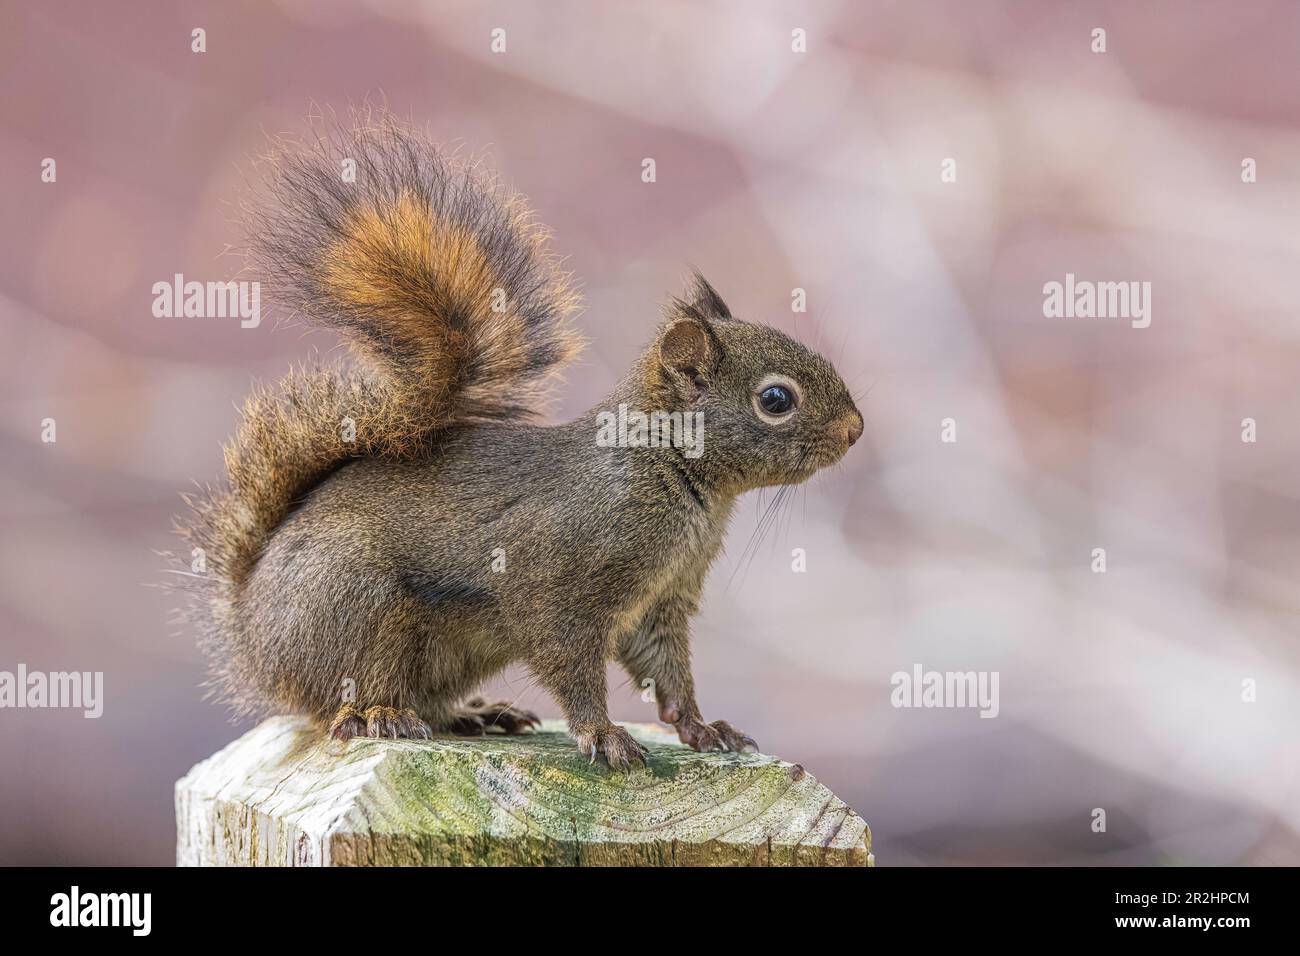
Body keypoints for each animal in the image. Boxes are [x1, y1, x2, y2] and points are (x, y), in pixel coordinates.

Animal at [172, 110, 864, 770]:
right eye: (776, 400)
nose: (856, 431)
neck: (668, 471)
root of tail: (252, 637)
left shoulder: (662, 598)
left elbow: (664, 668)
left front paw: (701, 726)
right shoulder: (556, 581)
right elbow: (569, 659)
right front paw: (603, 734)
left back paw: (475, 715)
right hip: (360, 607)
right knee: (338, 701)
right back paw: (377, 715)